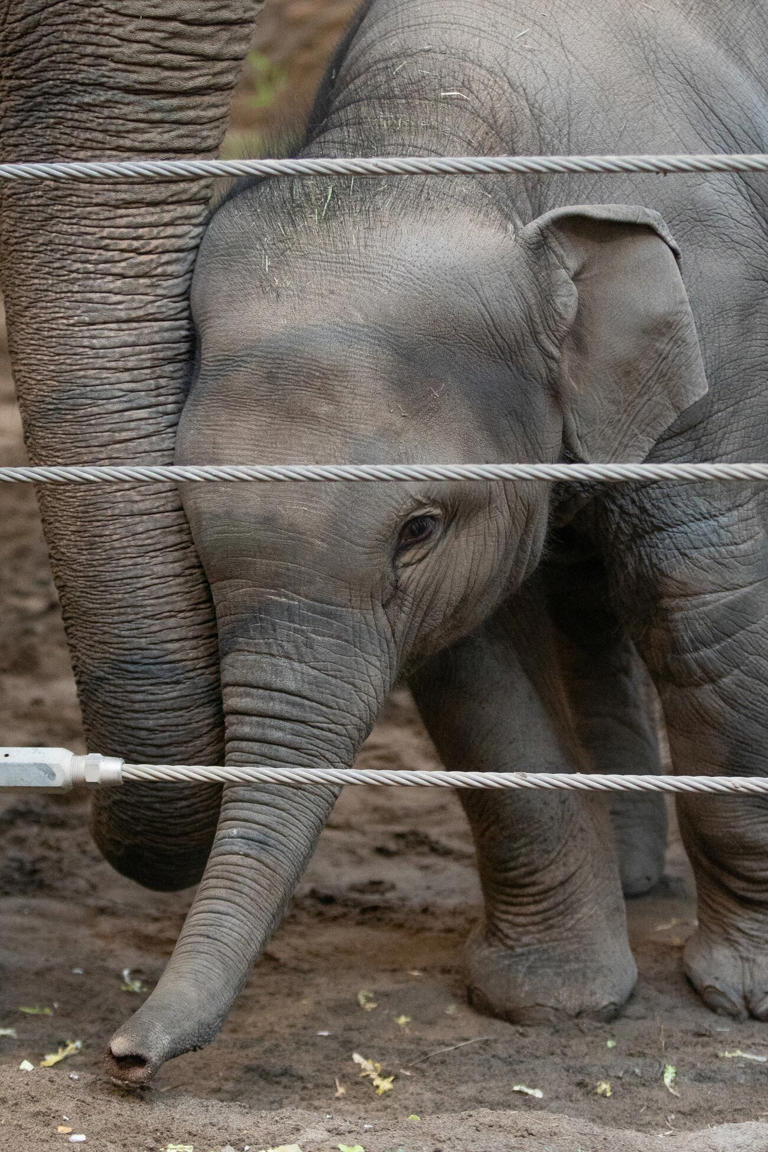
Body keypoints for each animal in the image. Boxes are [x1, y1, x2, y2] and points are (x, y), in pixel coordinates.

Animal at [2, 0, 767, 1086]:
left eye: (417, 530)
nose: (126, 1059)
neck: (436, 131)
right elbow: (474, 667)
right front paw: (551, 1005)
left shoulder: (719, 310)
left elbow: (701, 605)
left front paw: (739, 997)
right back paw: (629, 879)